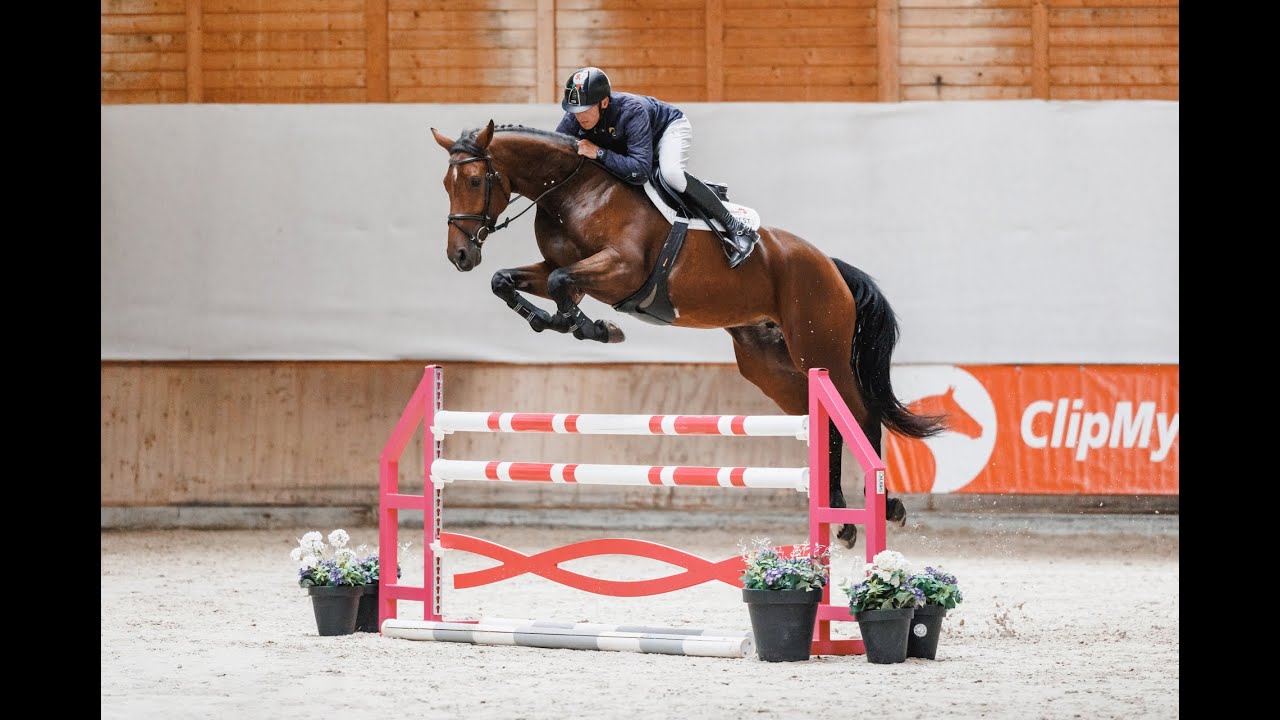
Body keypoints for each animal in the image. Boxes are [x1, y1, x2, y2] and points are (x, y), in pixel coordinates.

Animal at [429, 120, 947, 548]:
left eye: (474, 181)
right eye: (446, 185)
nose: (459, 256)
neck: (573, 189)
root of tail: (830, 266)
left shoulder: (620, 269)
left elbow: (560, 284)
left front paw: (595, 328)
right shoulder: (564, 269)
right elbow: (511, 281)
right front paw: (557, 321)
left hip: (821, 350)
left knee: (861, 413)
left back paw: (884, 507)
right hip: (770, 366)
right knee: (827, 420)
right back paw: (840, 515)